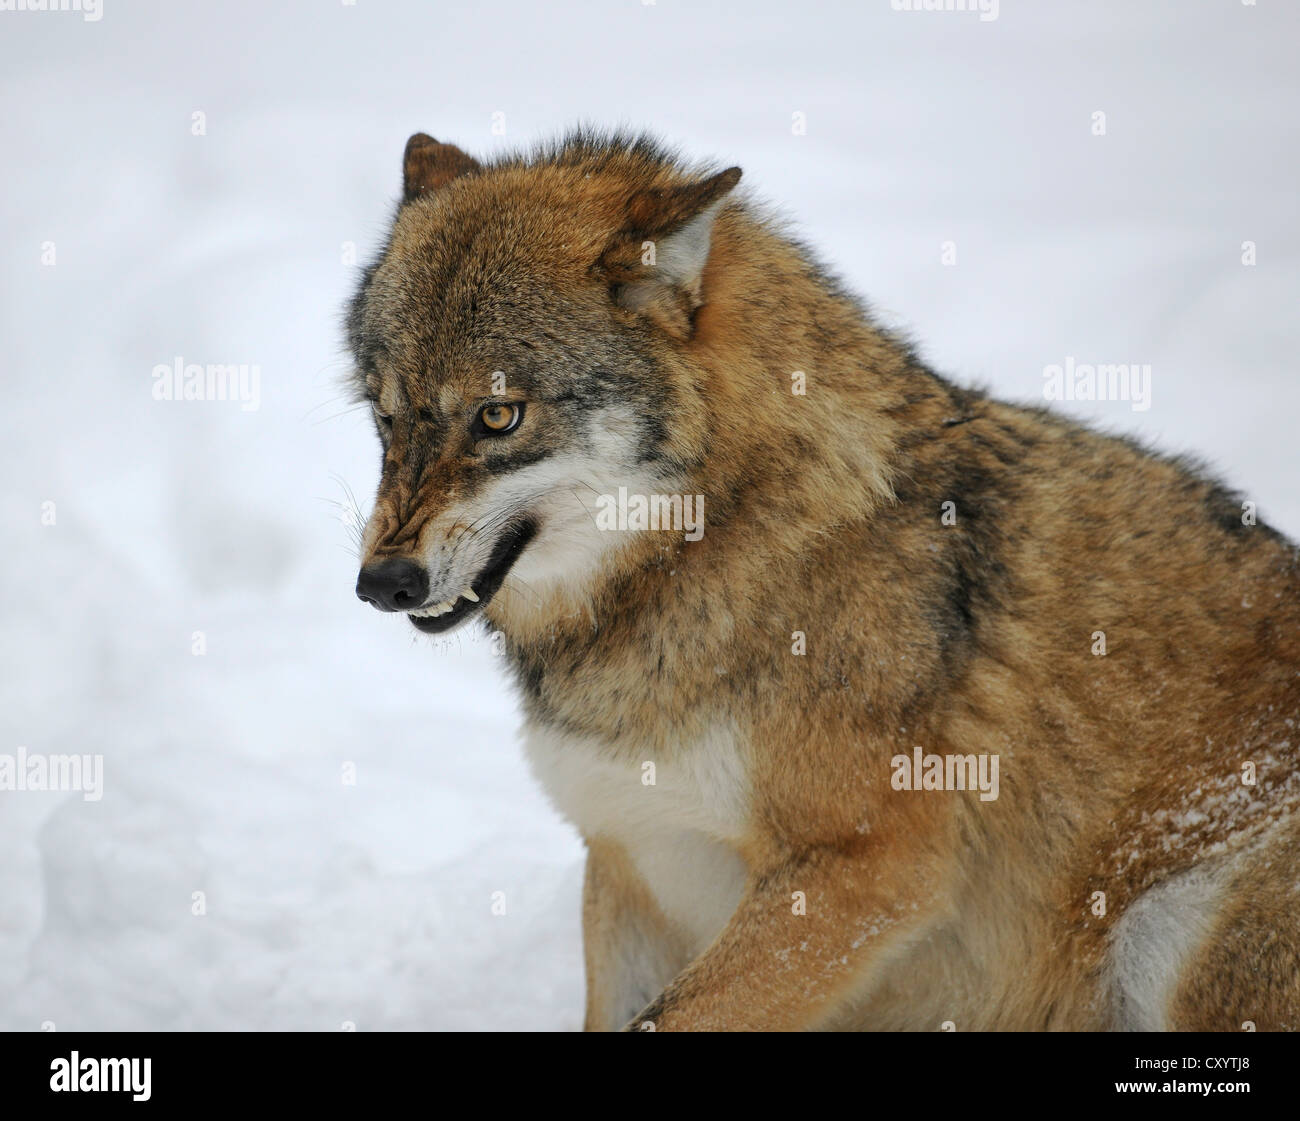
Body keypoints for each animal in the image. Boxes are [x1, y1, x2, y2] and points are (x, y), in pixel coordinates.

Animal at [346, 130, 1300, 1031]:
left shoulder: (860, 868)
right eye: (384, 417)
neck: (713, 542)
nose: (382, 583)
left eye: (498, 415)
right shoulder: (629, 857)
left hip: (1166, 933)